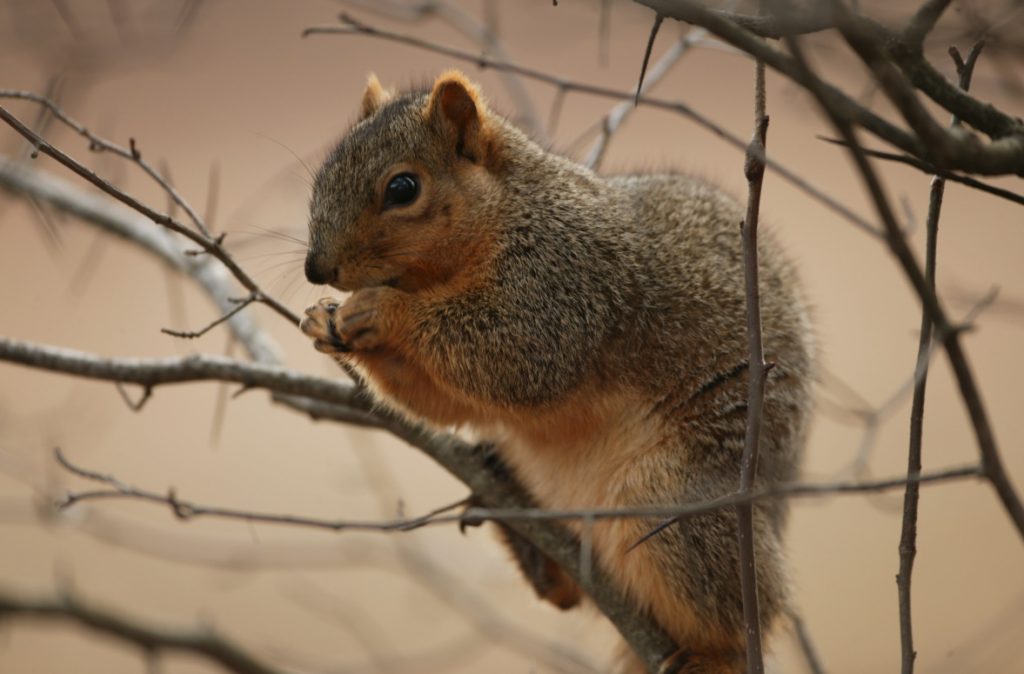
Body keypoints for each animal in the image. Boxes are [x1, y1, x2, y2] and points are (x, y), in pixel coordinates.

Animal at [300, 70, 814, 673]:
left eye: (403, 188)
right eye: (326, 170)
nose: (315, 268)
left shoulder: (565, 283)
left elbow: (514, 357)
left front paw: (380, 311)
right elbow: (449, 403)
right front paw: (324, 323)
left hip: (674, 499)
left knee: (738, 614)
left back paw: (711, 656)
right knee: (567, 595)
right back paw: (521, 534)